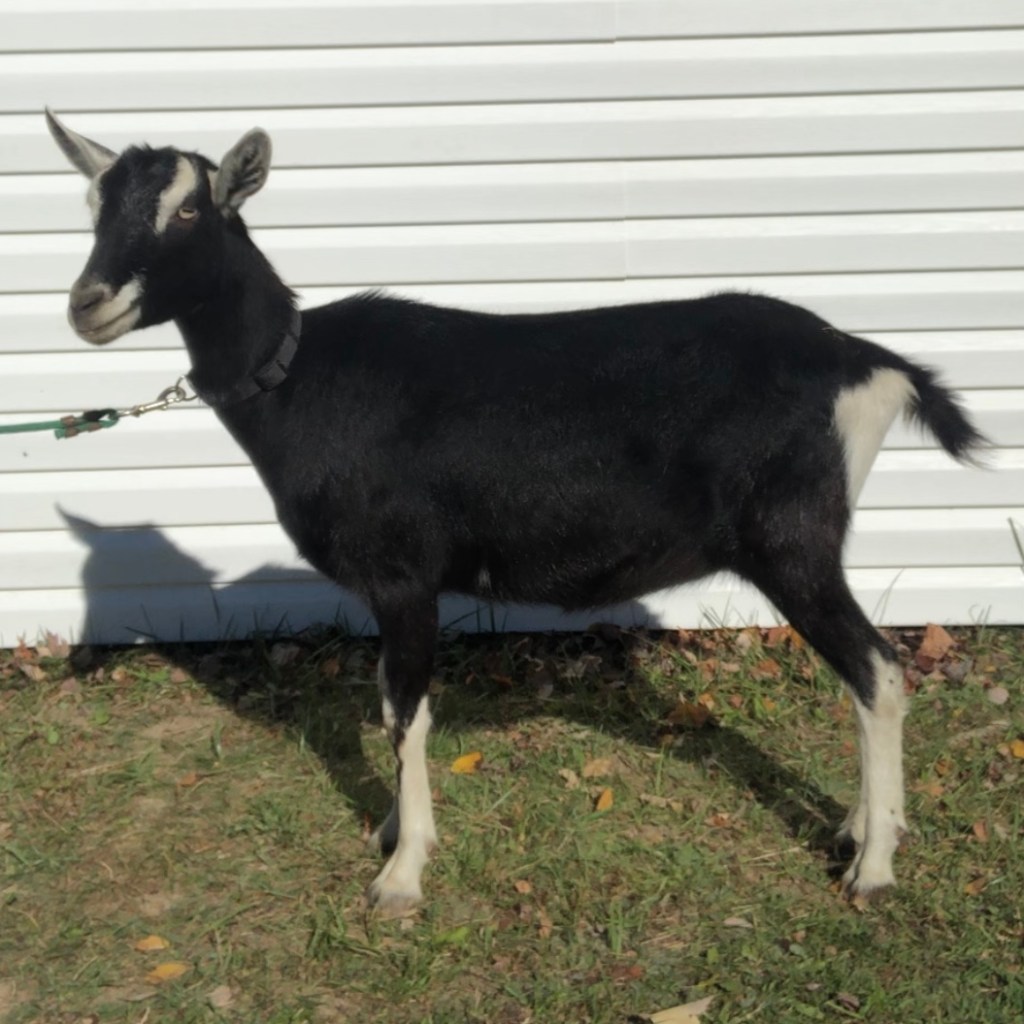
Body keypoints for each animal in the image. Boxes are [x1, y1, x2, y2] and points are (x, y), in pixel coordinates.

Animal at [46, 110, 985, 914]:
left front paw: (402, 872)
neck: (300, 377)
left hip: (794, 542)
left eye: (189, 209)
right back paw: (861, 828)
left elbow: (404, 714)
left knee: (879, 671)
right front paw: (389, 832)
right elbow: (392, 709)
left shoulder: (405, 577)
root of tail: (867, 364)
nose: (88, 304)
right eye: (94, 203)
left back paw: (873, 868)